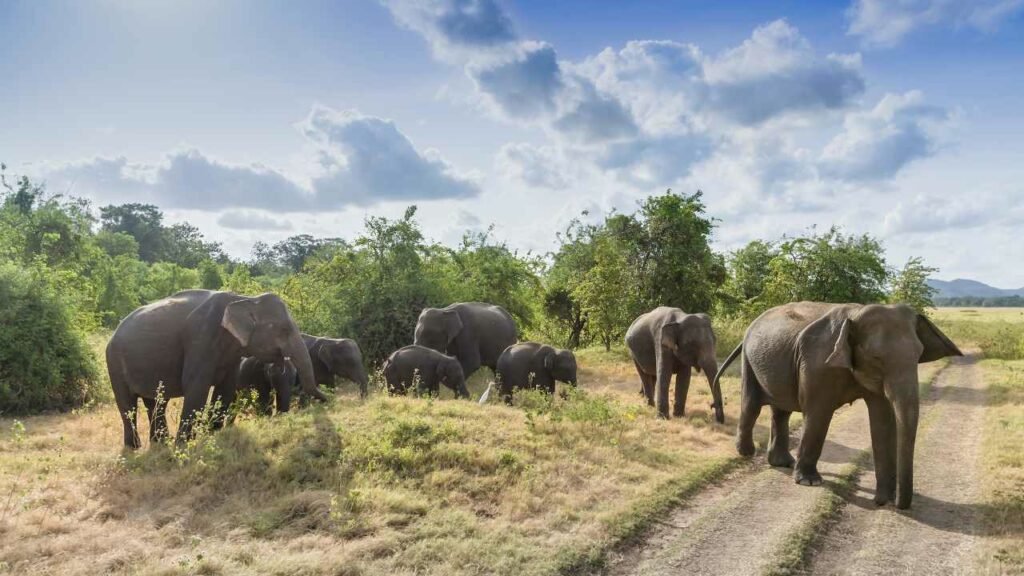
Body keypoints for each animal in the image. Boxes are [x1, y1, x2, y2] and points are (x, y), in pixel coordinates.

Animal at [106, 289, 326, 448]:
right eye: (284, 330)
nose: (326, 401)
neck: (243, 299)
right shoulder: (200, 339)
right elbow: (196, 387)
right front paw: (183, 445)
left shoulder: (232, 351)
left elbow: (225, 389)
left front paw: (214, 435)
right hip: (113, 361)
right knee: (127, 404)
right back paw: (134, 447)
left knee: (156, 402)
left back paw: (159, 443)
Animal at [714, 302, 962, 509]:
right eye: (876, 358)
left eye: (919, 355)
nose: (889, 502)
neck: (856, 314)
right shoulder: (817, 365)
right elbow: (818, 414)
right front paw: (810, 483)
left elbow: (882, 421)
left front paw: (884, 497)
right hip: (749, 361)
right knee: (751, 406)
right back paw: (748, 453)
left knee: (781, 411)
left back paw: (782, 462)